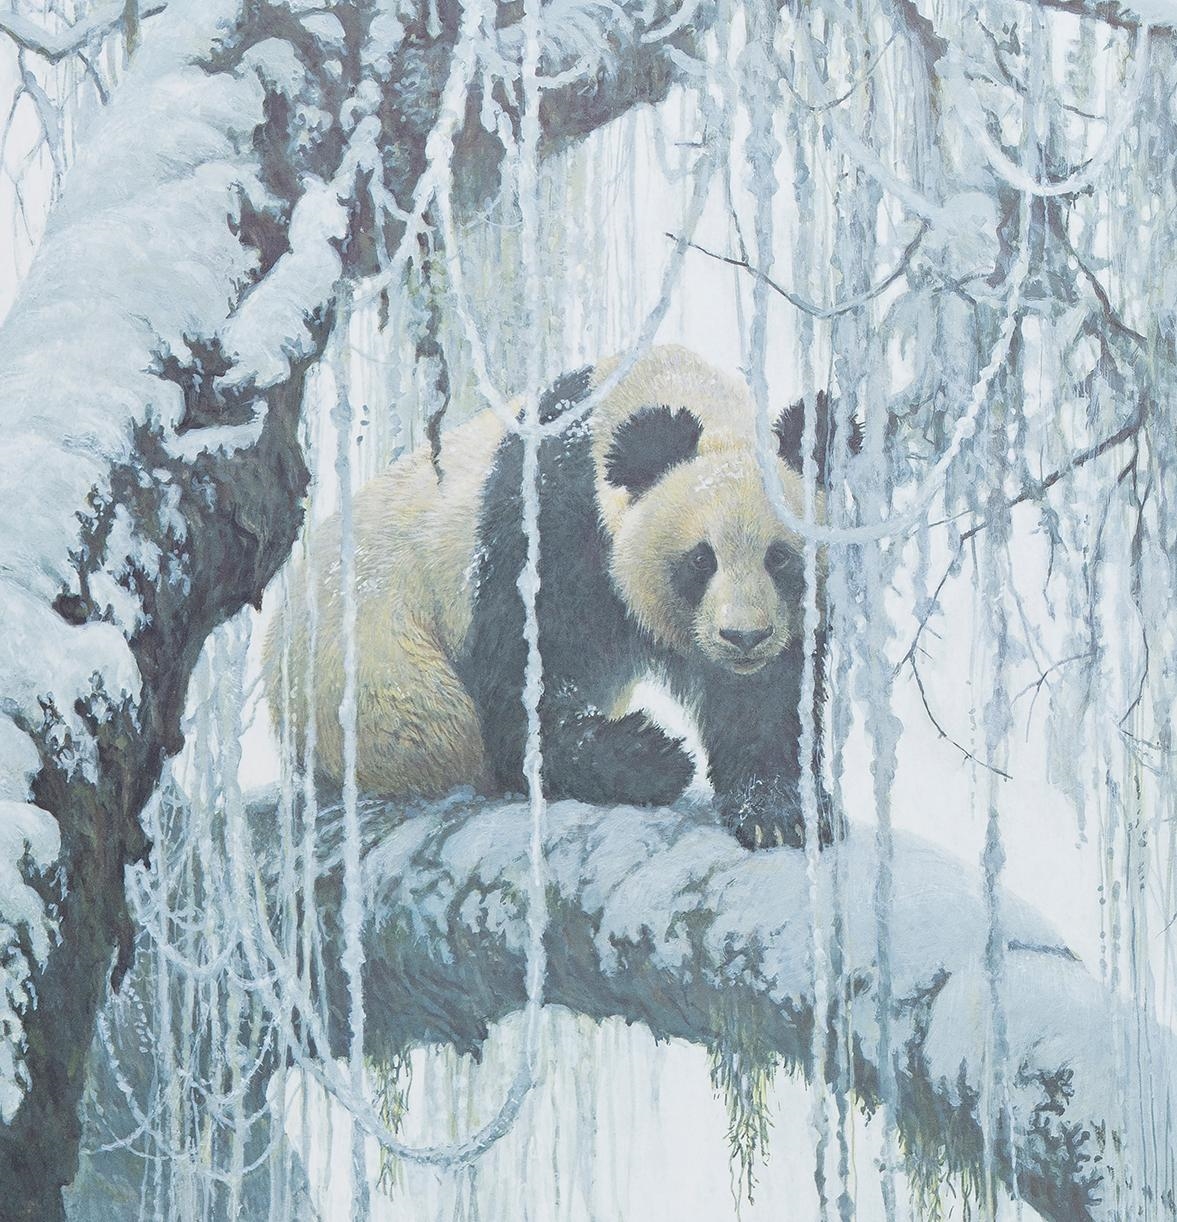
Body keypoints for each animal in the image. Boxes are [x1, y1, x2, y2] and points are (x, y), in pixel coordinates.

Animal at [270, 345, 849, 849]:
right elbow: (522, 688)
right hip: (371, 659)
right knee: (431, 727)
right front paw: (650, 753)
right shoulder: (550, 524)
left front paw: (777, 813)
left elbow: (767, 702)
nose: (744, 637)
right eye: (701, 560)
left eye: (779, 558)